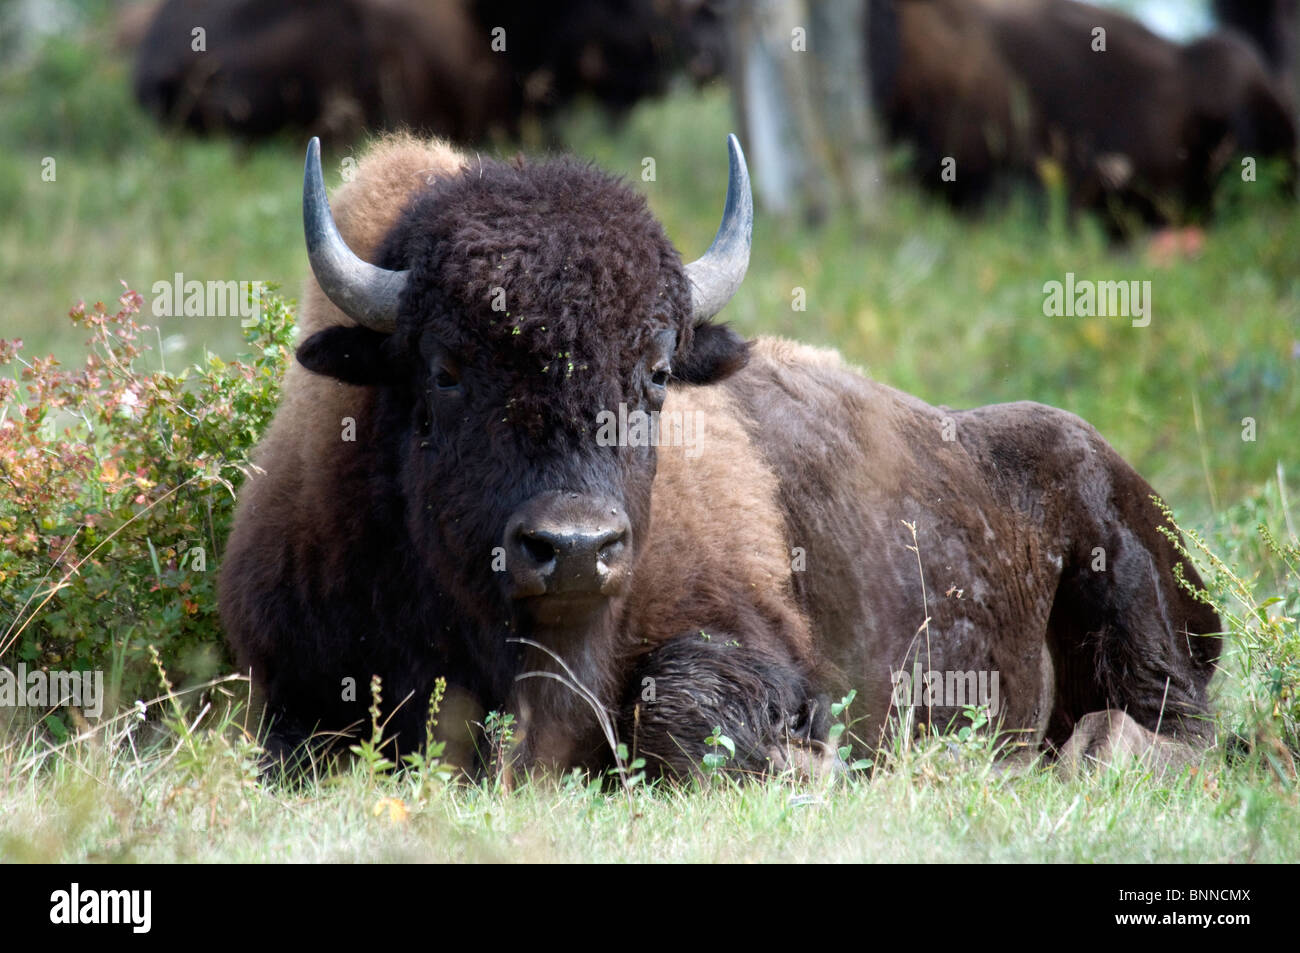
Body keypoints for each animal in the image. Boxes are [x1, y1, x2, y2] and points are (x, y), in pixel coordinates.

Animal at [219, 133, 1221, 780]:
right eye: (446, 367)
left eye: (658, 370)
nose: (574, 548)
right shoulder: (293, 679)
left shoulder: (751, 636)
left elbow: (681, 712)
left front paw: (809, 762)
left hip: (1134, 606)